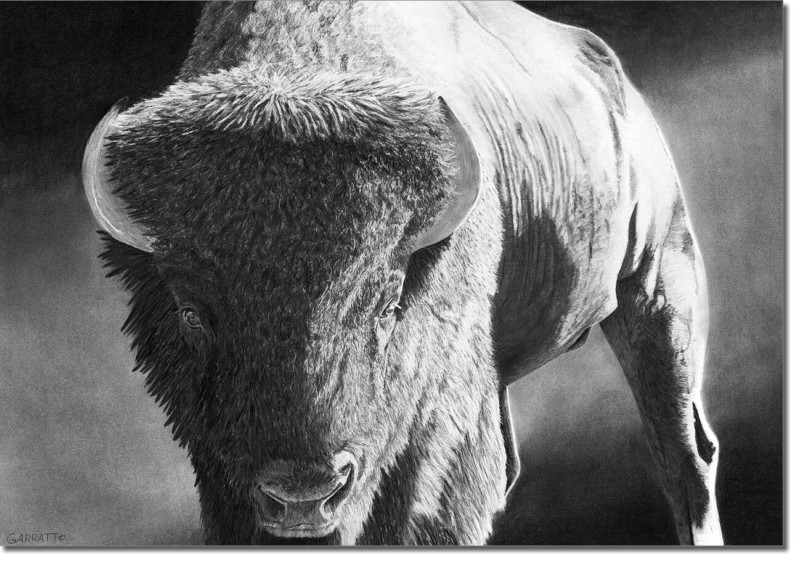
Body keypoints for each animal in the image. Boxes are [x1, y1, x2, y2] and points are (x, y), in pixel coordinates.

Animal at [83, 1, 723, 545]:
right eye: (190, 312)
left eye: (388, 303)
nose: (303, 497)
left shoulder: (433, 437)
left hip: (658, 283)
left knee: (684, 453)